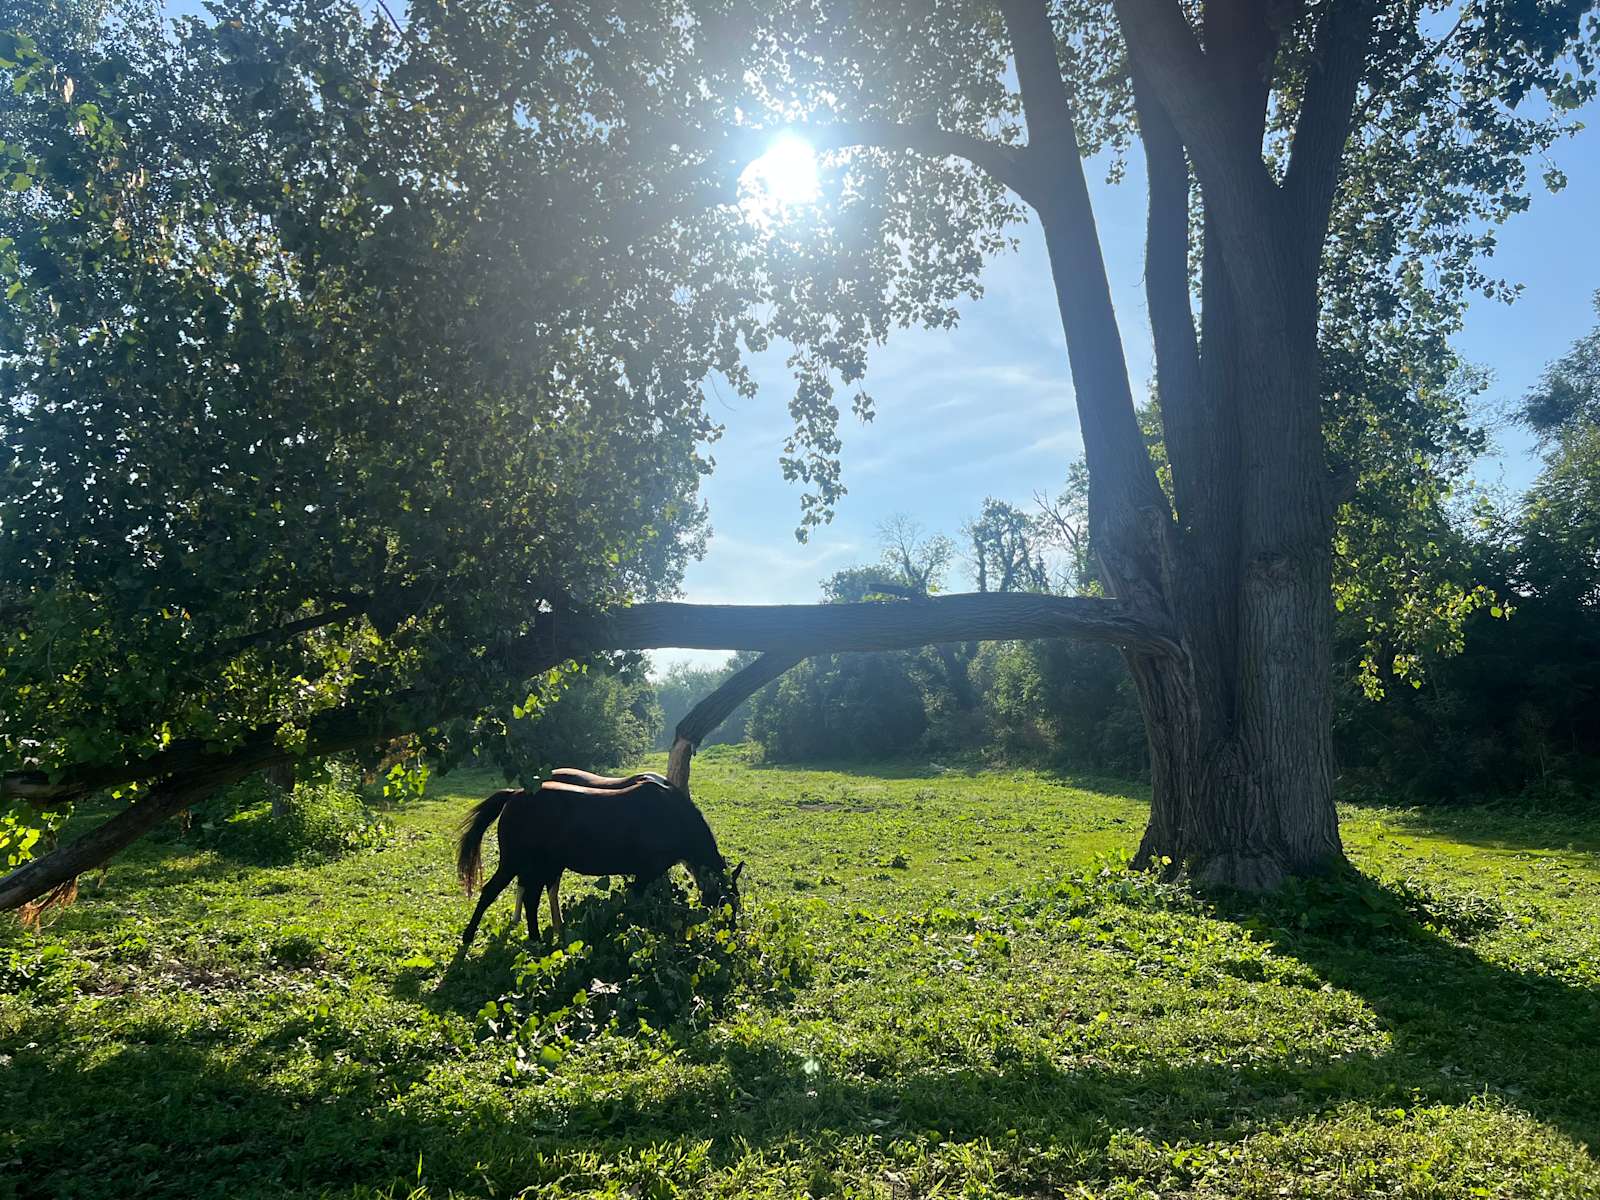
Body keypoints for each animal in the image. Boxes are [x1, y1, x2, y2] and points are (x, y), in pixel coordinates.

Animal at [454, 777, 742, 951]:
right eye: (726, 901)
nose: (731, 932)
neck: (671, 816)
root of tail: (515, 795)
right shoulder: (645, 874)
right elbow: (637, 904)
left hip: (540, 866)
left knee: (530, 899)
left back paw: (536, 941)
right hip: (517, 863)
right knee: (491, 892)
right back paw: (469, 937)